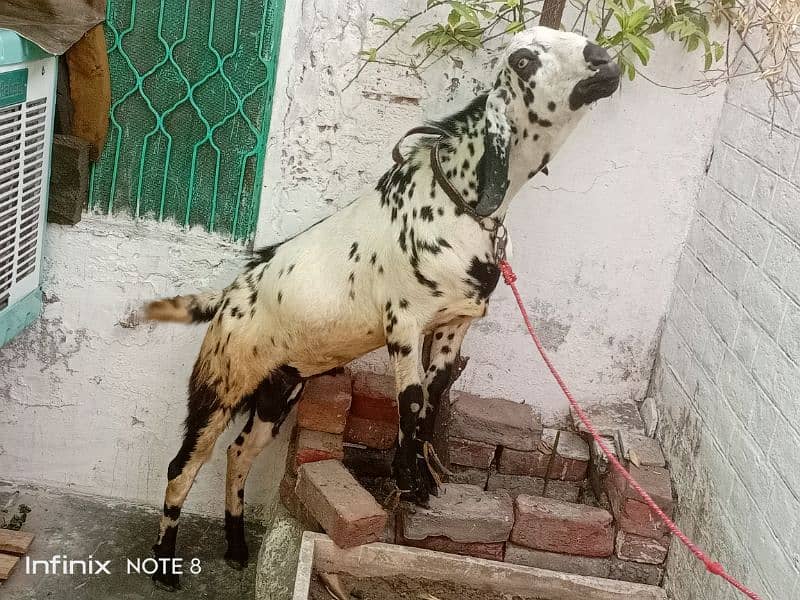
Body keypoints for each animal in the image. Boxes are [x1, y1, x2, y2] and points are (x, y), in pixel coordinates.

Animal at [142, 26, 620, 590]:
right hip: (220, 385)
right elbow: (410, 403)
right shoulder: (404, 324)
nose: (604, 60)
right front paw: (409, 481)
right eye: (523, 59)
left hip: (277, 391)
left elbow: (434, 397)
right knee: (183, 465)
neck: (455, 200)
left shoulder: (453, 325)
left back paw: (238, 548)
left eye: (577, 38)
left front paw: (424, 478)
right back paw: (165, 565)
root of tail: (228, 296)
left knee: (240, 455)